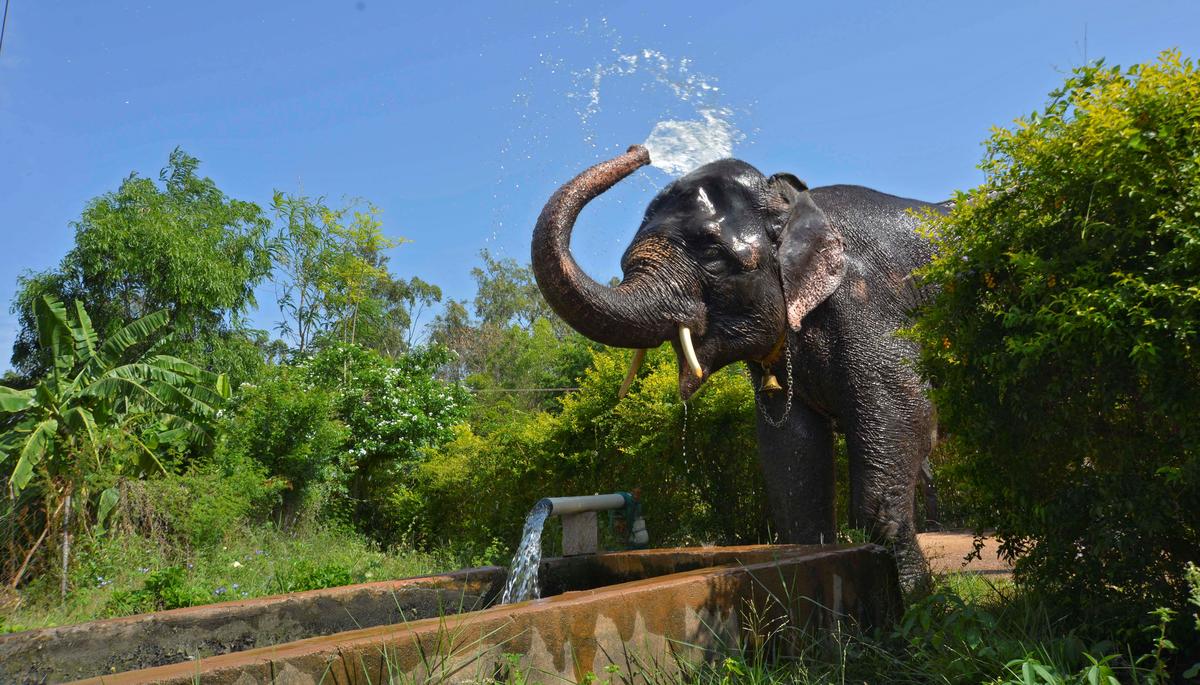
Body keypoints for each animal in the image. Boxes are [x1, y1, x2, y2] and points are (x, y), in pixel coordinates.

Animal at [530, 144, 944, 589]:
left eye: (712, 254)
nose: (638, 151)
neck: (795, 202)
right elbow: (790, 451)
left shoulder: (872, 306)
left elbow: (905, 411)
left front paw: (913, 596)